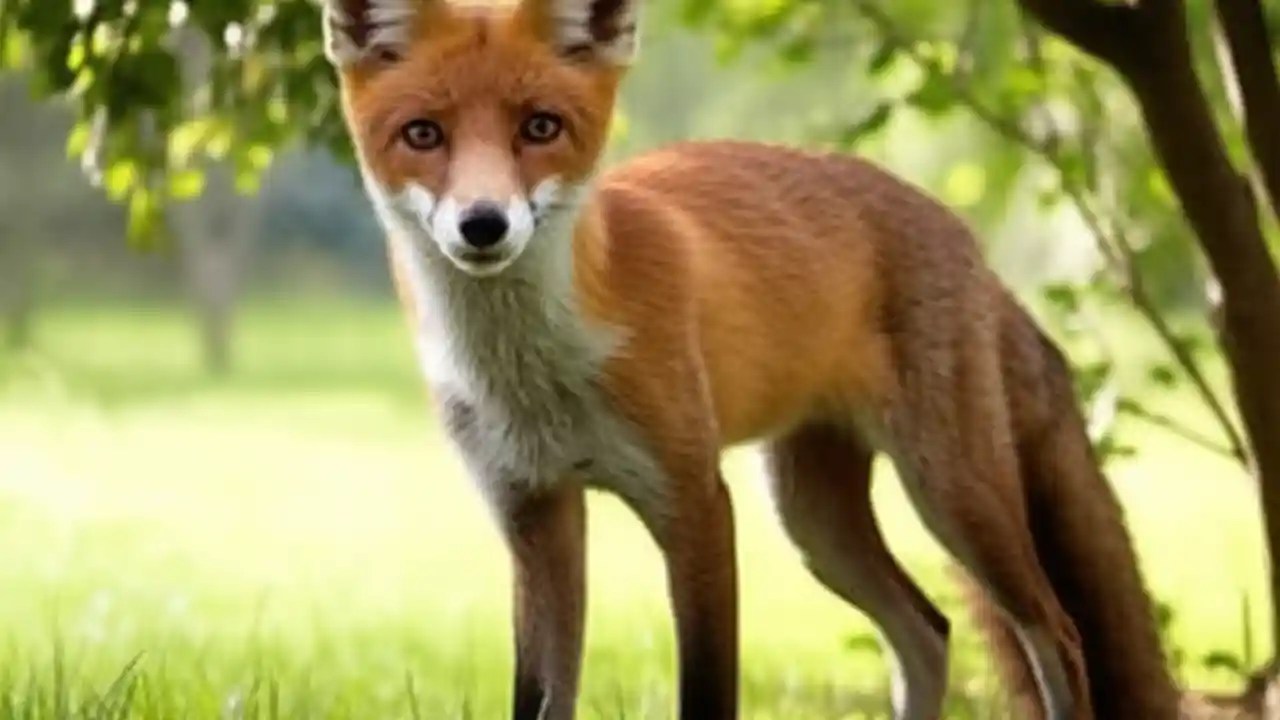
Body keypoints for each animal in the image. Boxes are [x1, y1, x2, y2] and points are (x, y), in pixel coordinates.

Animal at [321, 0, 1182, 718]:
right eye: (423, 135)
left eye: (540, 128)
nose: (483, 225)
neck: (535, 371)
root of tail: (960, 231)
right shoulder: (532, 513)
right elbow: (536, 698)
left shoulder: (696, 505)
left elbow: (707, 693)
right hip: (815, 520)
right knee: (928, 631)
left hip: (954, 493)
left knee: (1057, 633)